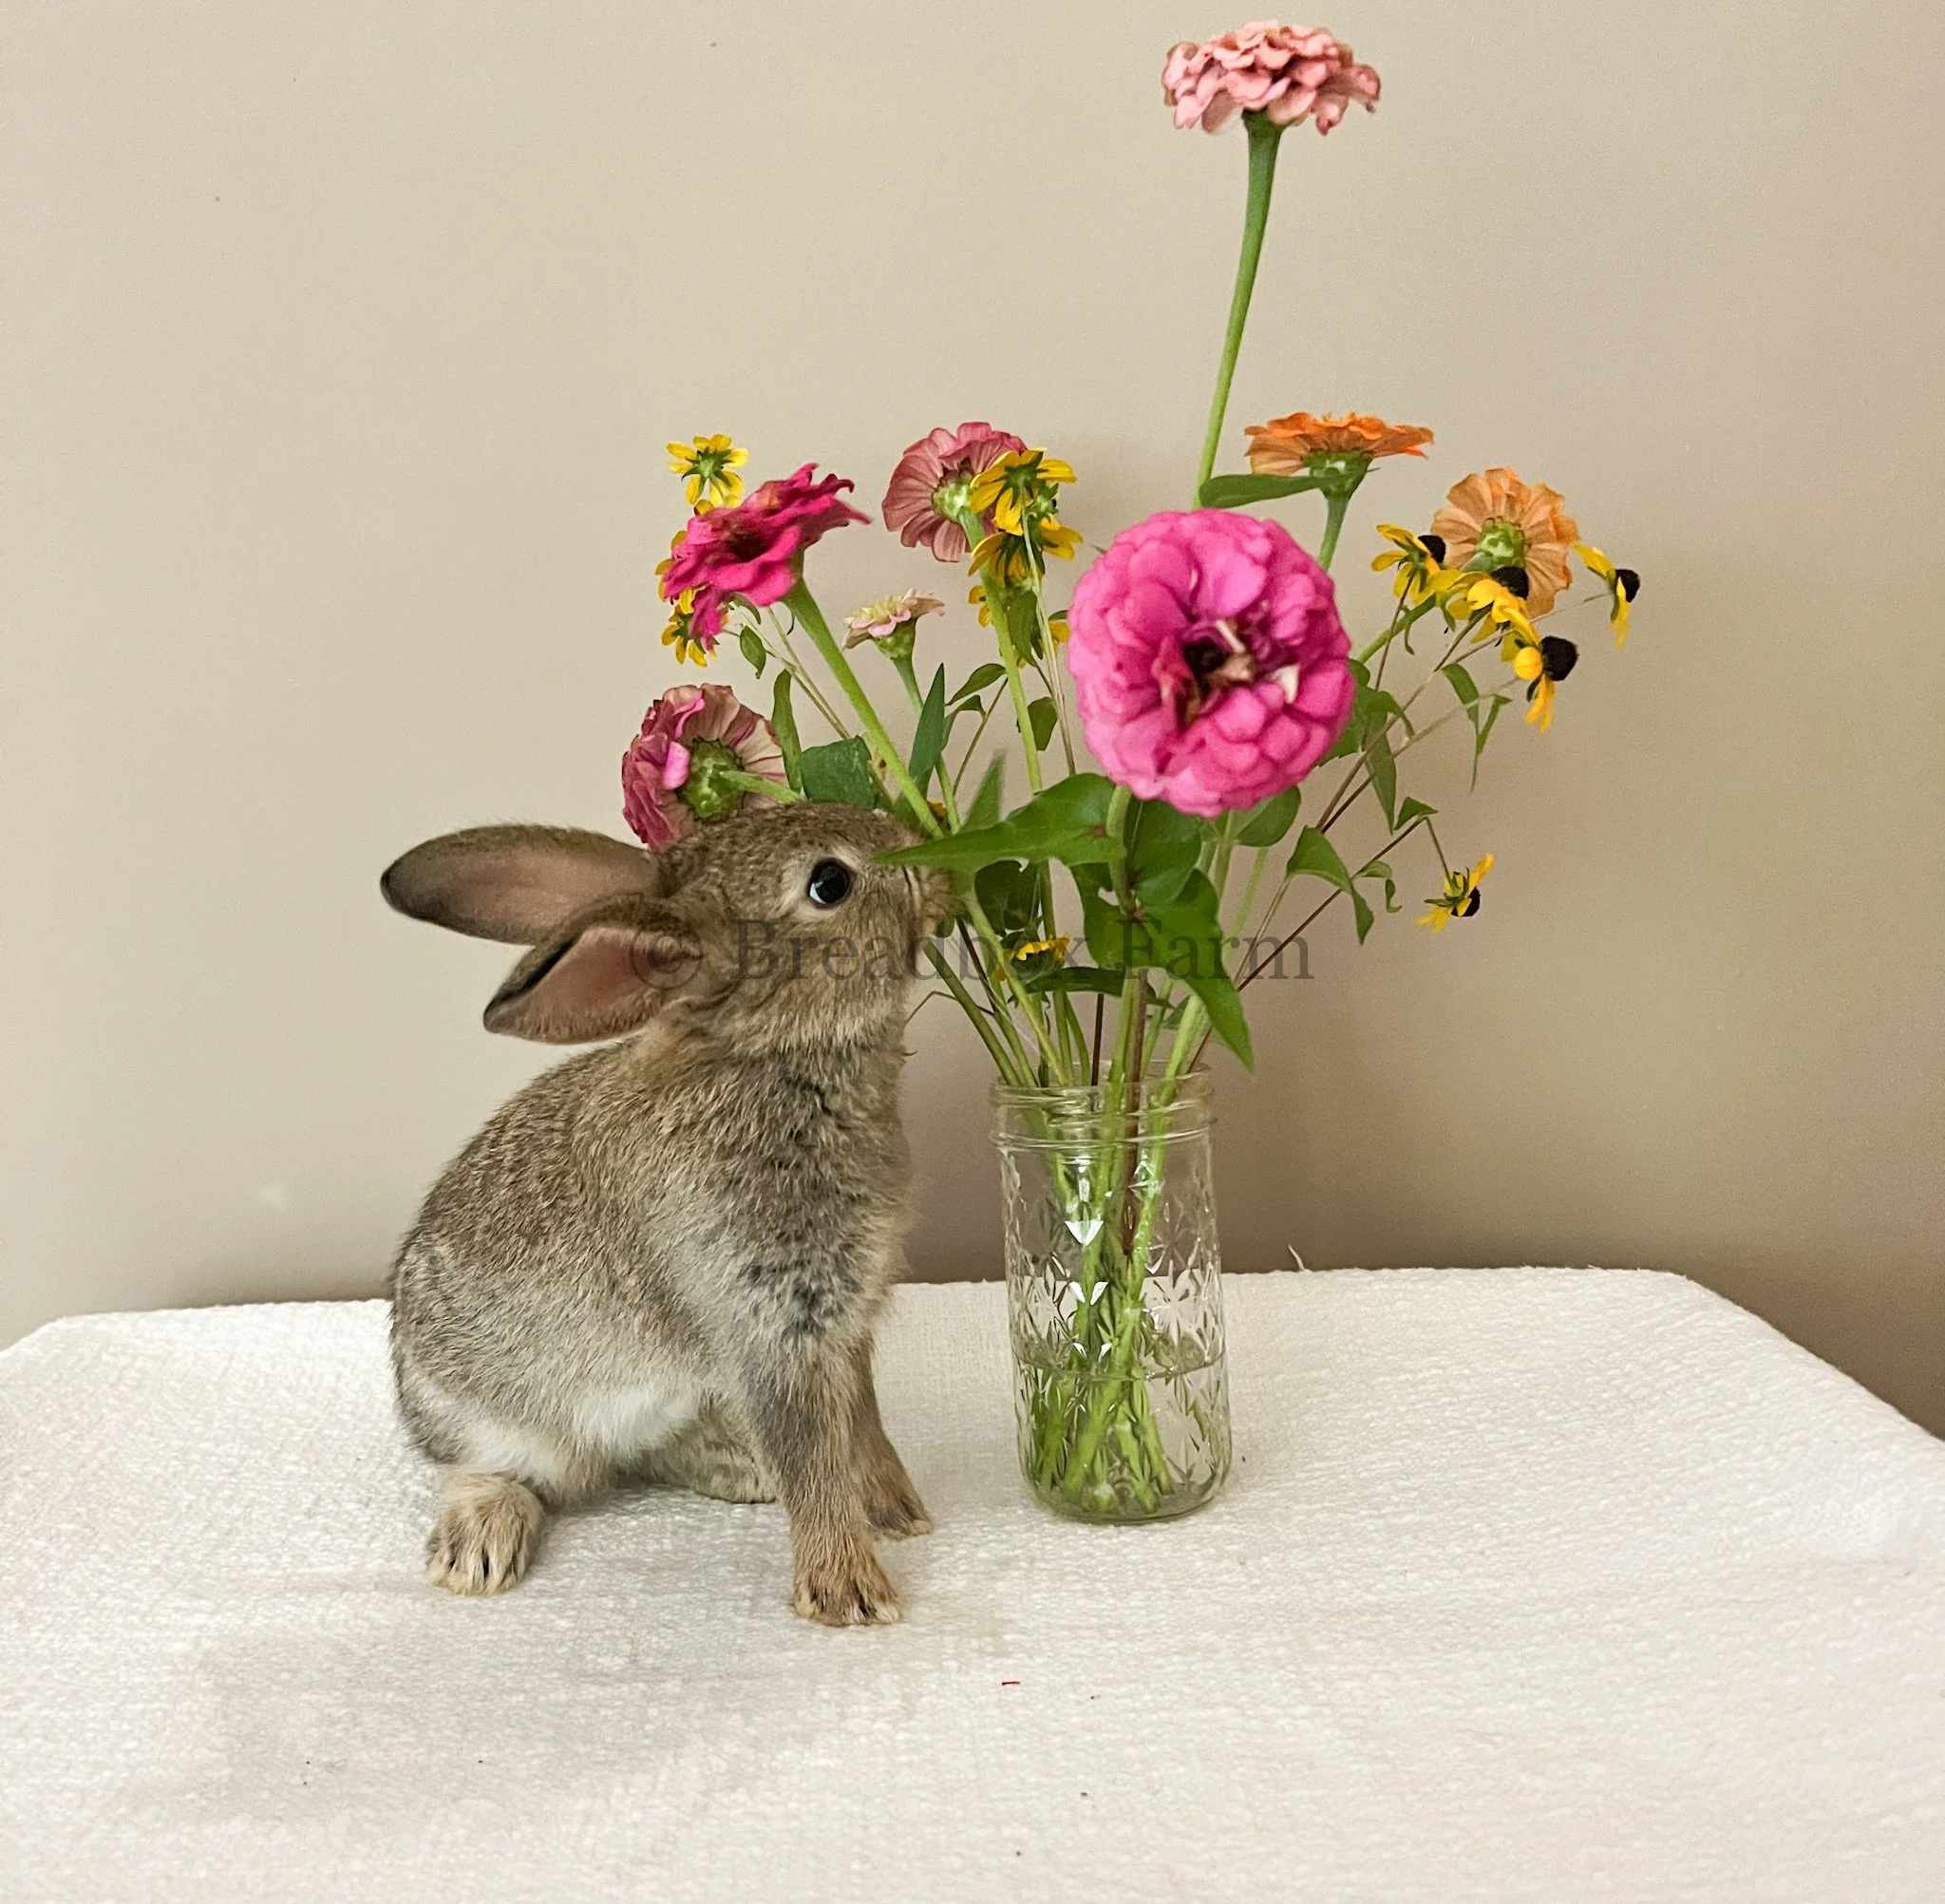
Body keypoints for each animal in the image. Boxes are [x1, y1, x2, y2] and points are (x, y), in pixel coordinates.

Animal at [379, 802, 951, 1626]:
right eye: (829, 882)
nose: (929, 857)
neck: (772, 1057)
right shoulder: (772, 1324)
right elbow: (814, 1457)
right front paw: (850, 1592)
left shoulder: (841, 1325)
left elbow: (861, 1429)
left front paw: (899, 1514)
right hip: (489, 1416)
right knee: (490, 1469)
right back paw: (477, 1546)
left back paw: (743, 1471)